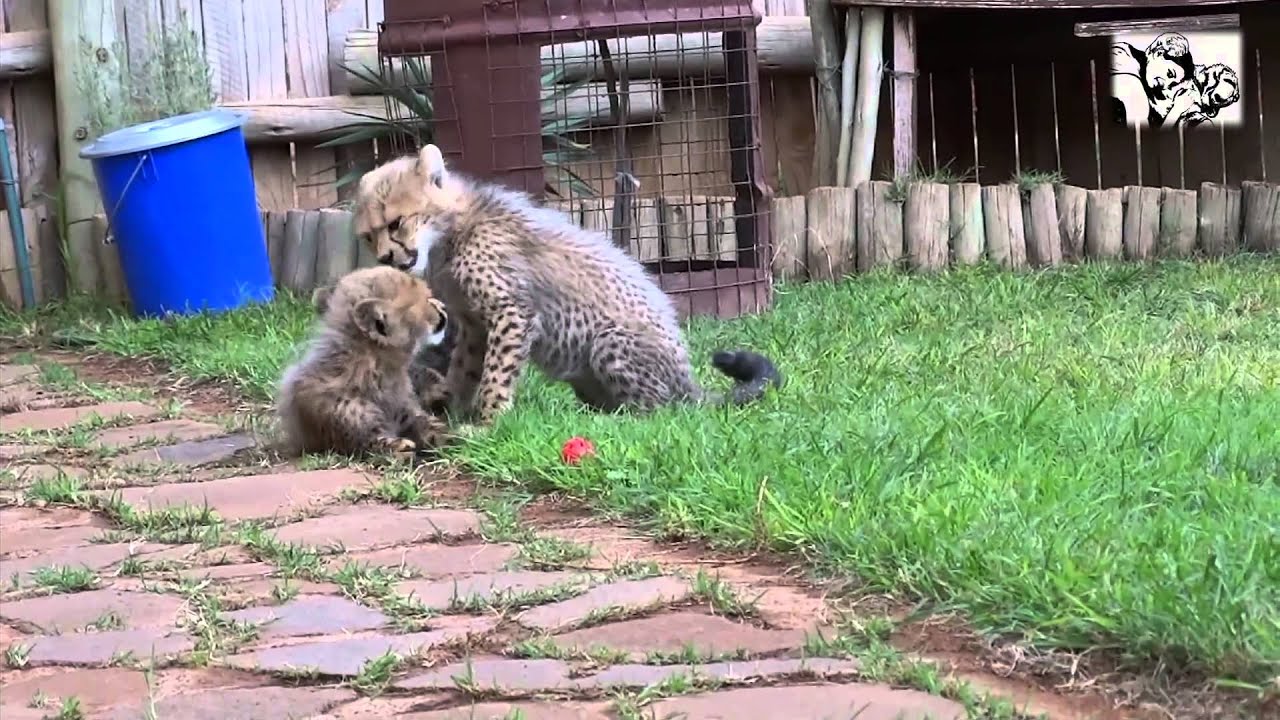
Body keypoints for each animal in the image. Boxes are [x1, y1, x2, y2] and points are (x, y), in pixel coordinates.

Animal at [275, 264, 453, 457]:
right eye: (426, 301)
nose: (443, 306)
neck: (374, 359)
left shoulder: (404, 405)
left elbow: (423, 420)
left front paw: (444, 435)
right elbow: (366, 437)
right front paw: (396, 447)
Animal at [351, 143, 782, 425]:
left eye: (396, 223)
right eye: (368, 237)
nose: (385, 257)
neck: (450, 232)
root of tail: (688, 384)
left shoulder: (512, 312)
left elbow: (496, 374)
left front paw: (488, 423)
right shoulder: (474, 323)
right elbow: (466, 368)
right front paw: (453, 409)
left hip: (611, 342)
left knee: (660, 414)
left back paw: (610, 425)